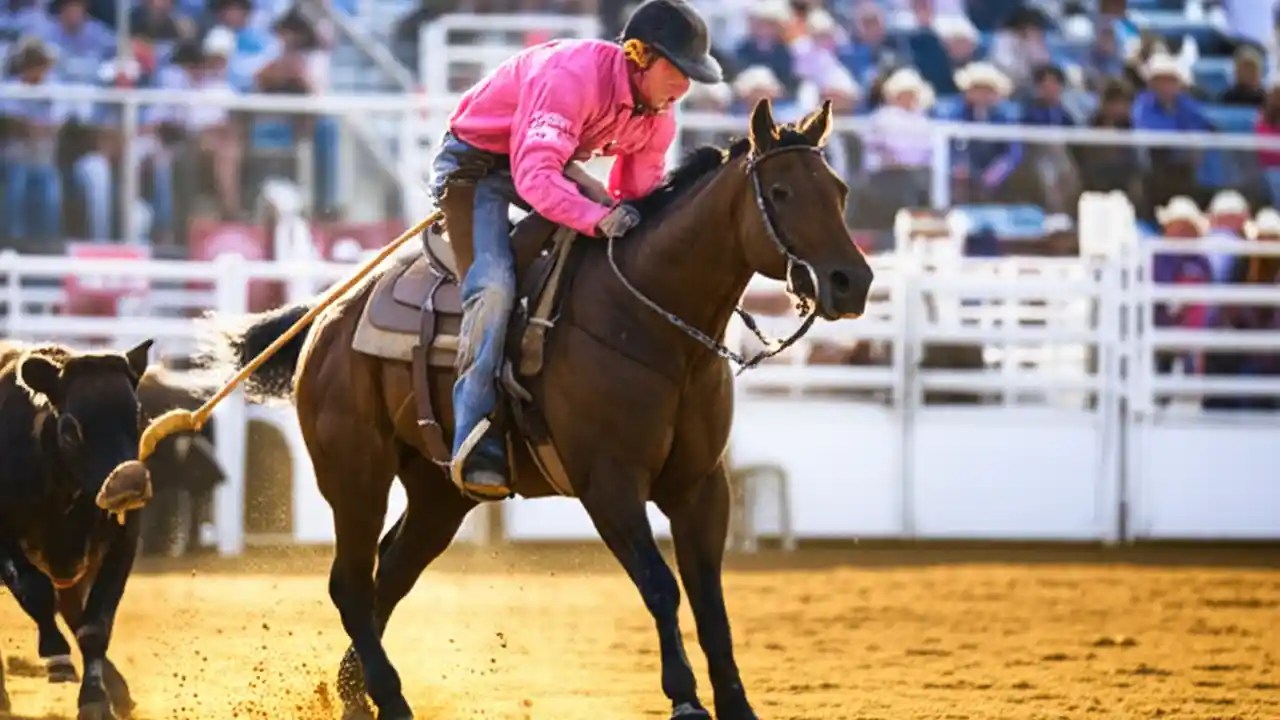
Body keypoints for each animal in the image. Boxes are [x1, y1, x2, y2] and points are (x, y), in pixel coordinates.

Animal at [0, 339, 157, 720]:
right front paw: (56, 656)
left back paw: (118, 691)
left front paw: (95, 698)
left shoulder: (123, 541)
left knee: (73, 609)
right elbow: (34, 591)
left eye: (137, 415)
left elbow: (95, 623)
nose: (129, 482)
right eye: (71, 429)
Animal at [199, 99, 873, 720]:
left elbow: (710, 597)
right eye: (781, 192)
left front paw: (735, 703)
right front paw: (684, 698)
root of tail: (328, 319)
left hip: (439, 493)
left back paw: (356, 695)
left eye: (840, 191)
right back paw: (388, 699)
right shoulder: (609, 483)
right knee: (351, 583)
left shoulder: (701, 484)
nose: (852, 282)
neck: (649, 324)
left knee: (389, 574)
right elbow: (660, 585)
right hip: (354, 472)